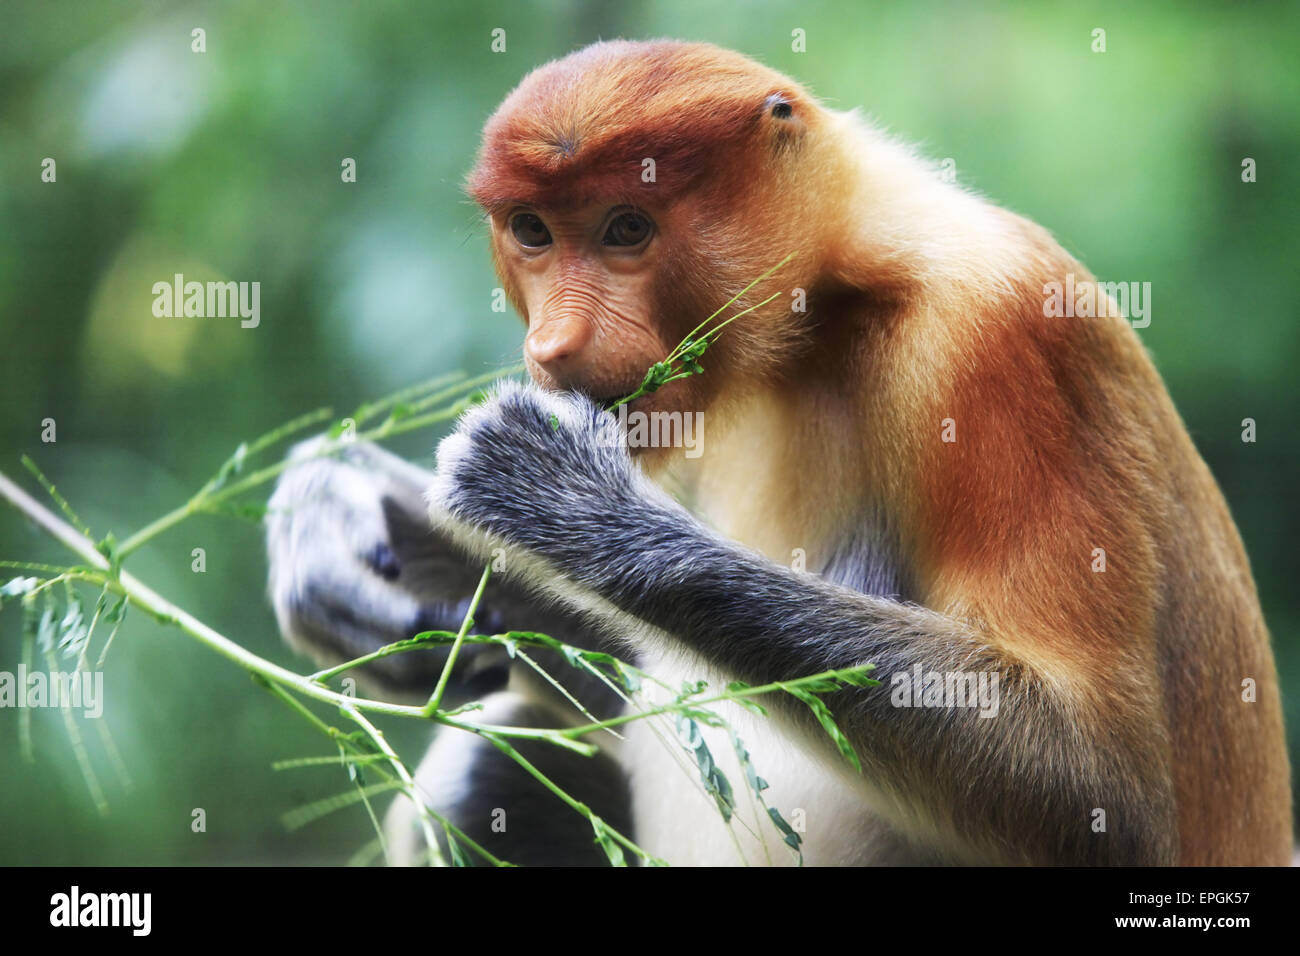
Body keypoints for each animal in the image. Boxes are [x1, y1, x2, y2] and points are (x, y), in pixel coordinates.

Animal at [266, 39, 1291, 866]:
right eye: (532, 231)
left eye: (627, 228)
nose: (554, 348)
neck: (835, 297)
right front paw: (343, 523)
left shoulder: (1003, 332)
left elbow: (1098, 788)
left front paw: (554, 493)